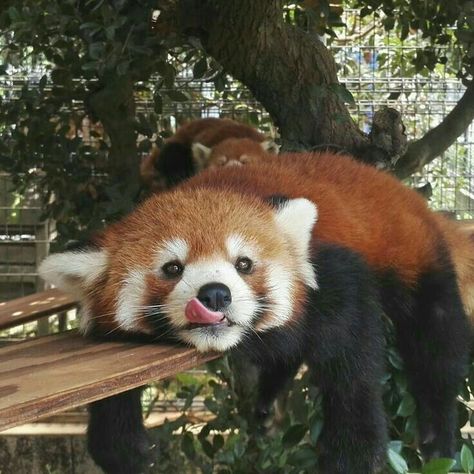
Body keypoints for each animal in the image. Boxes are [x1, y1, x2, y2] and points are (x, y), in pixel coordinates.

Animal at [39, 153, 470, 474]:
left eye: (243, 264)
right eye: (172, 268)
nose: (215, 294)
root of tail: (404, 193)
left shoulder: (335, 272)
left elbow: (353, 367)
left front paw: (354, 453)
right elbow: (110, 379)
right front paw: (122, 447)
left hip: (416, 254)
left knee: (438, 343)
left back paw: (440, 435)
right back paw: (268, 395)